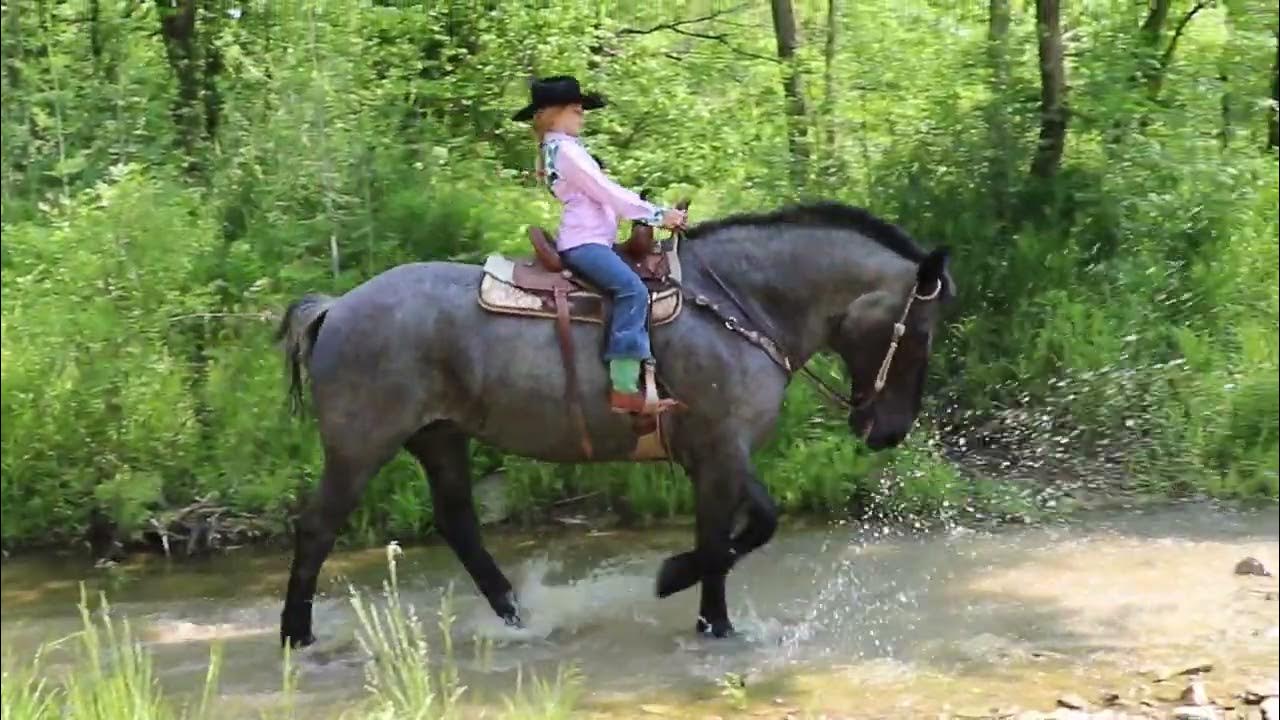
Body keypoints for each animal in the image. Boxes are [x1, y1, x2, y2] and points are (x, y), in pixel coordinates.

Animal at [274, 200, 955, 648]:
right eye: (920, 333)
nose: (890, 431)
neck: (737, 305)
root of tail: (336, 307)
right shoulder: (720, 450)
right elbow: (733, 535)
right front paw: (692, 600)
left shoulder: (717, 453)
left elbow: (744, 527)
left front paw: (701, 608)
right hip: (361, 445)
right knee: (317, 527)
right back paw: (296, 636)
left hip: (439, 437)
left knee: (459, 525)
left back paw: (518, 618)